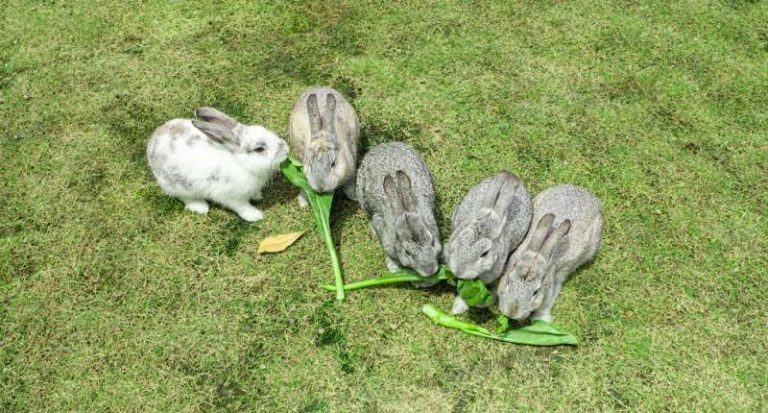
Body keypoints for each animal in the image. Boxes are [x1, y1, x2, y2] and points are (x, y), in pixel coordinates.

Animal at [147, 107, 289, 222]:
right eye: (259, 149)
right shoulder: (231, 197)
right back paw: (200, 207)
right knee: (184, 197)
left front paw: (257, 196)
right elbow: (242, 207)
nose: (286, 150)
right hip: (179, 185)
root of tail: (152, 142)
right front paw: (255, 215)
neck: (241, 164)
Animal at [357, 142, 442, 279]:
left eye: (433, 242)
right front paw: (394, 268)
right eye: (407, 252)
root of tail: (383, 145)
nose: (430, 271)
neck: (403, 210)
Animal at [496, 184, 603, 322]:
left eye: (535, 292)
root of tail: (587, 194)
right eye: (508, 281)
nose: (512, 312)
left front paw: (541, 318)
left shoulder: (553, 284)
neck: (540, 251)